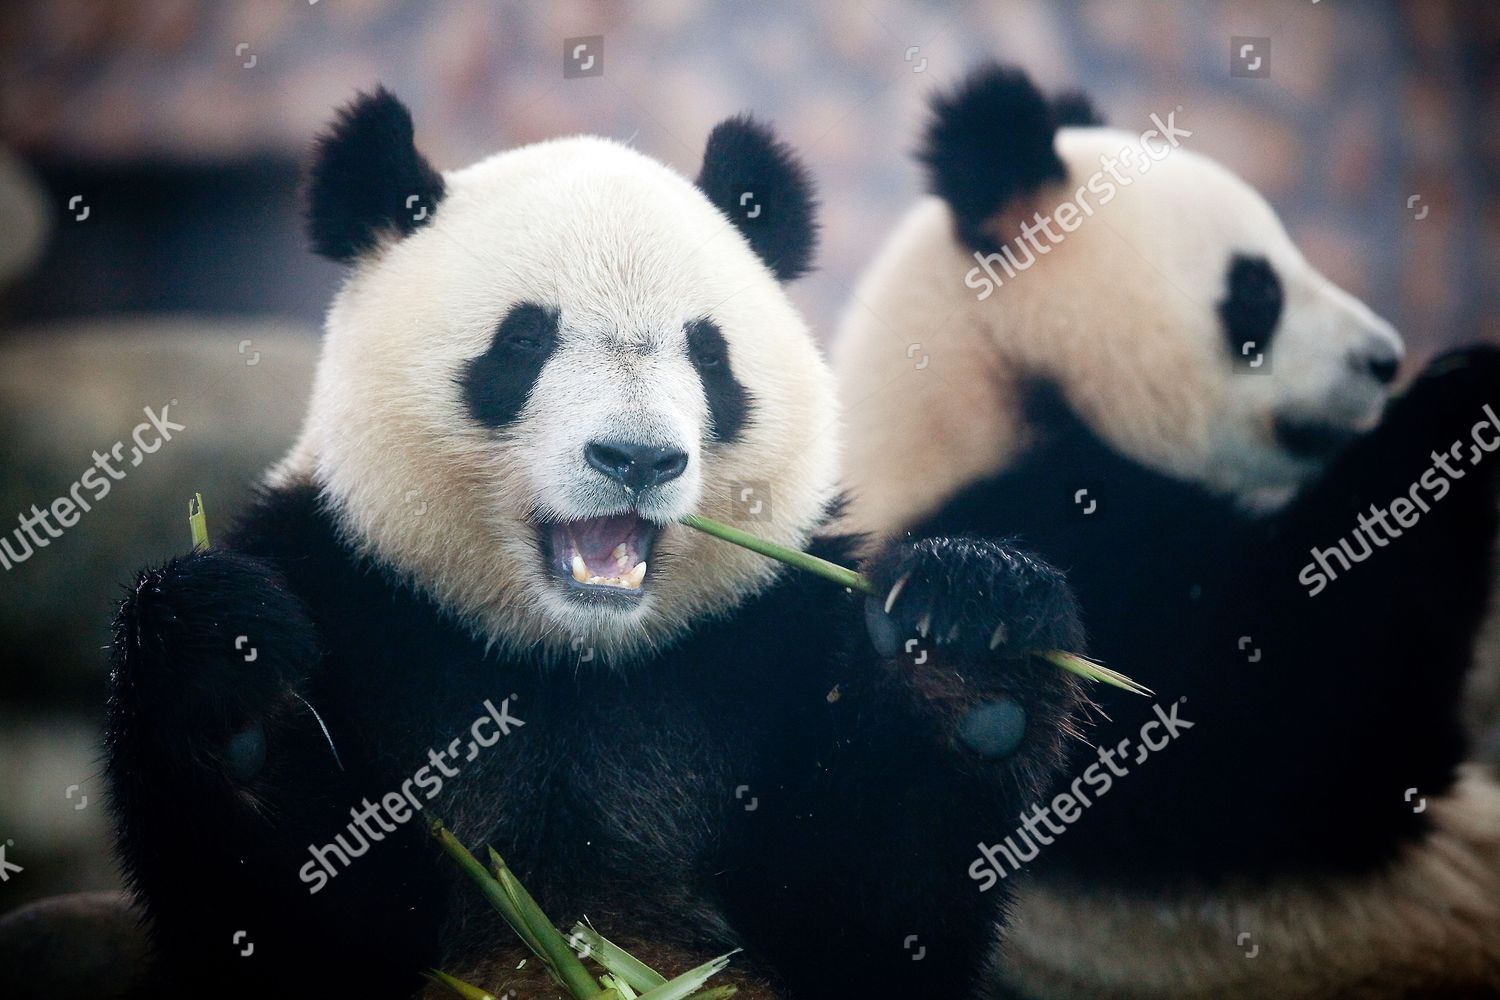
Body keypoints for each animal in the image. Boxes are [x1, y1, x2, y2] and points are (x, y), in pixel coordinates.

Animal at [104, 87, 1098, 1000]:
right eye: (523, 340)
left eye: (709, 354)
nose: (637, 457)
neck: (574, 656)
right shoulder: (350, 585)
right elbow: (279, 920)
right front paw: (229, 677)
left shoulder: (772, 631)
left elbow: (871, 915)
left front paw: (970, 642)